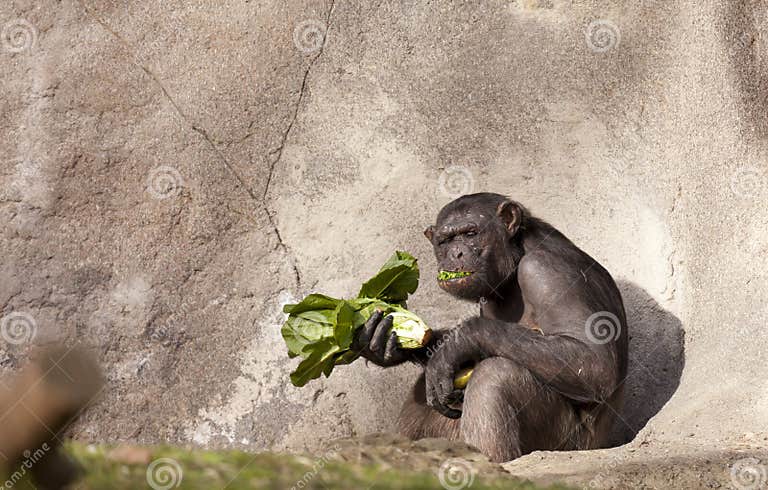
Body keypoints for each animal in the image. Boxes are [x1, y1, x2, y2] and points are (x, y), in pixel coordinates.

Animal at [353, 193, 628, 463]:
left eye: (470, 233)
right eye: (446, 240)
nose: (456, 253)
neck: (516, 259)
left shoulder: (547, 272)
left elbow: (593, 362)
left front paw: (461, 340)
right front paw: (383, 341)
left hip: (563, 442)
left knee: (495, 375)